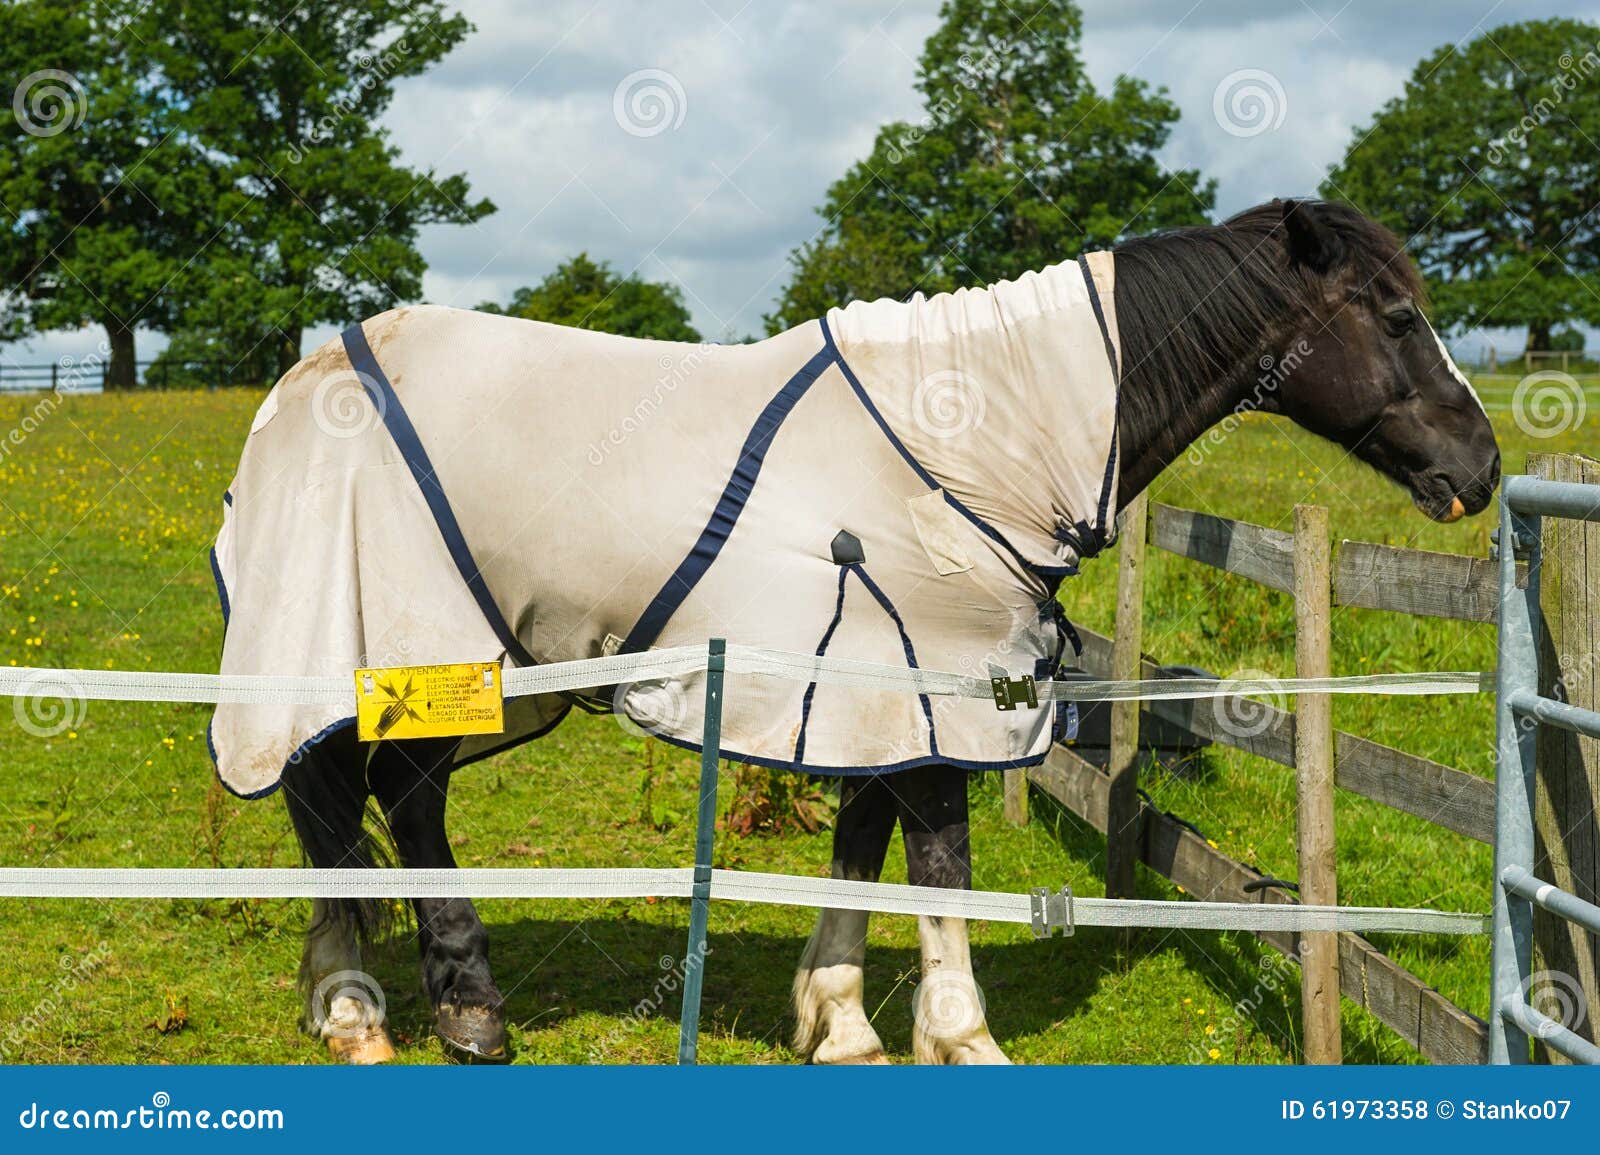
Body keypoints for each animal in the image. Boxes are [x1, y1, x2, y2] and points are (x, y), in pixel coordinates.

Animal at [208, 198, 1499, 1063]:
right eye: (1397, 315)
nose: (1480, 468)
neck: (981, 436)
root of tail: (306, 376)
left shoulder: (874, 687)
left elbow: (863, 846)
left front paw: (837, 1020)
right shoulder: (932, 681)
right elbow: (939, 863)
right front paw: (961, 1037)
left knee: (381, 796)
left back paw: (383, 1000)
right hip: (406, 644)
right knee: (373, 800)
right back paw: (414, 1012)